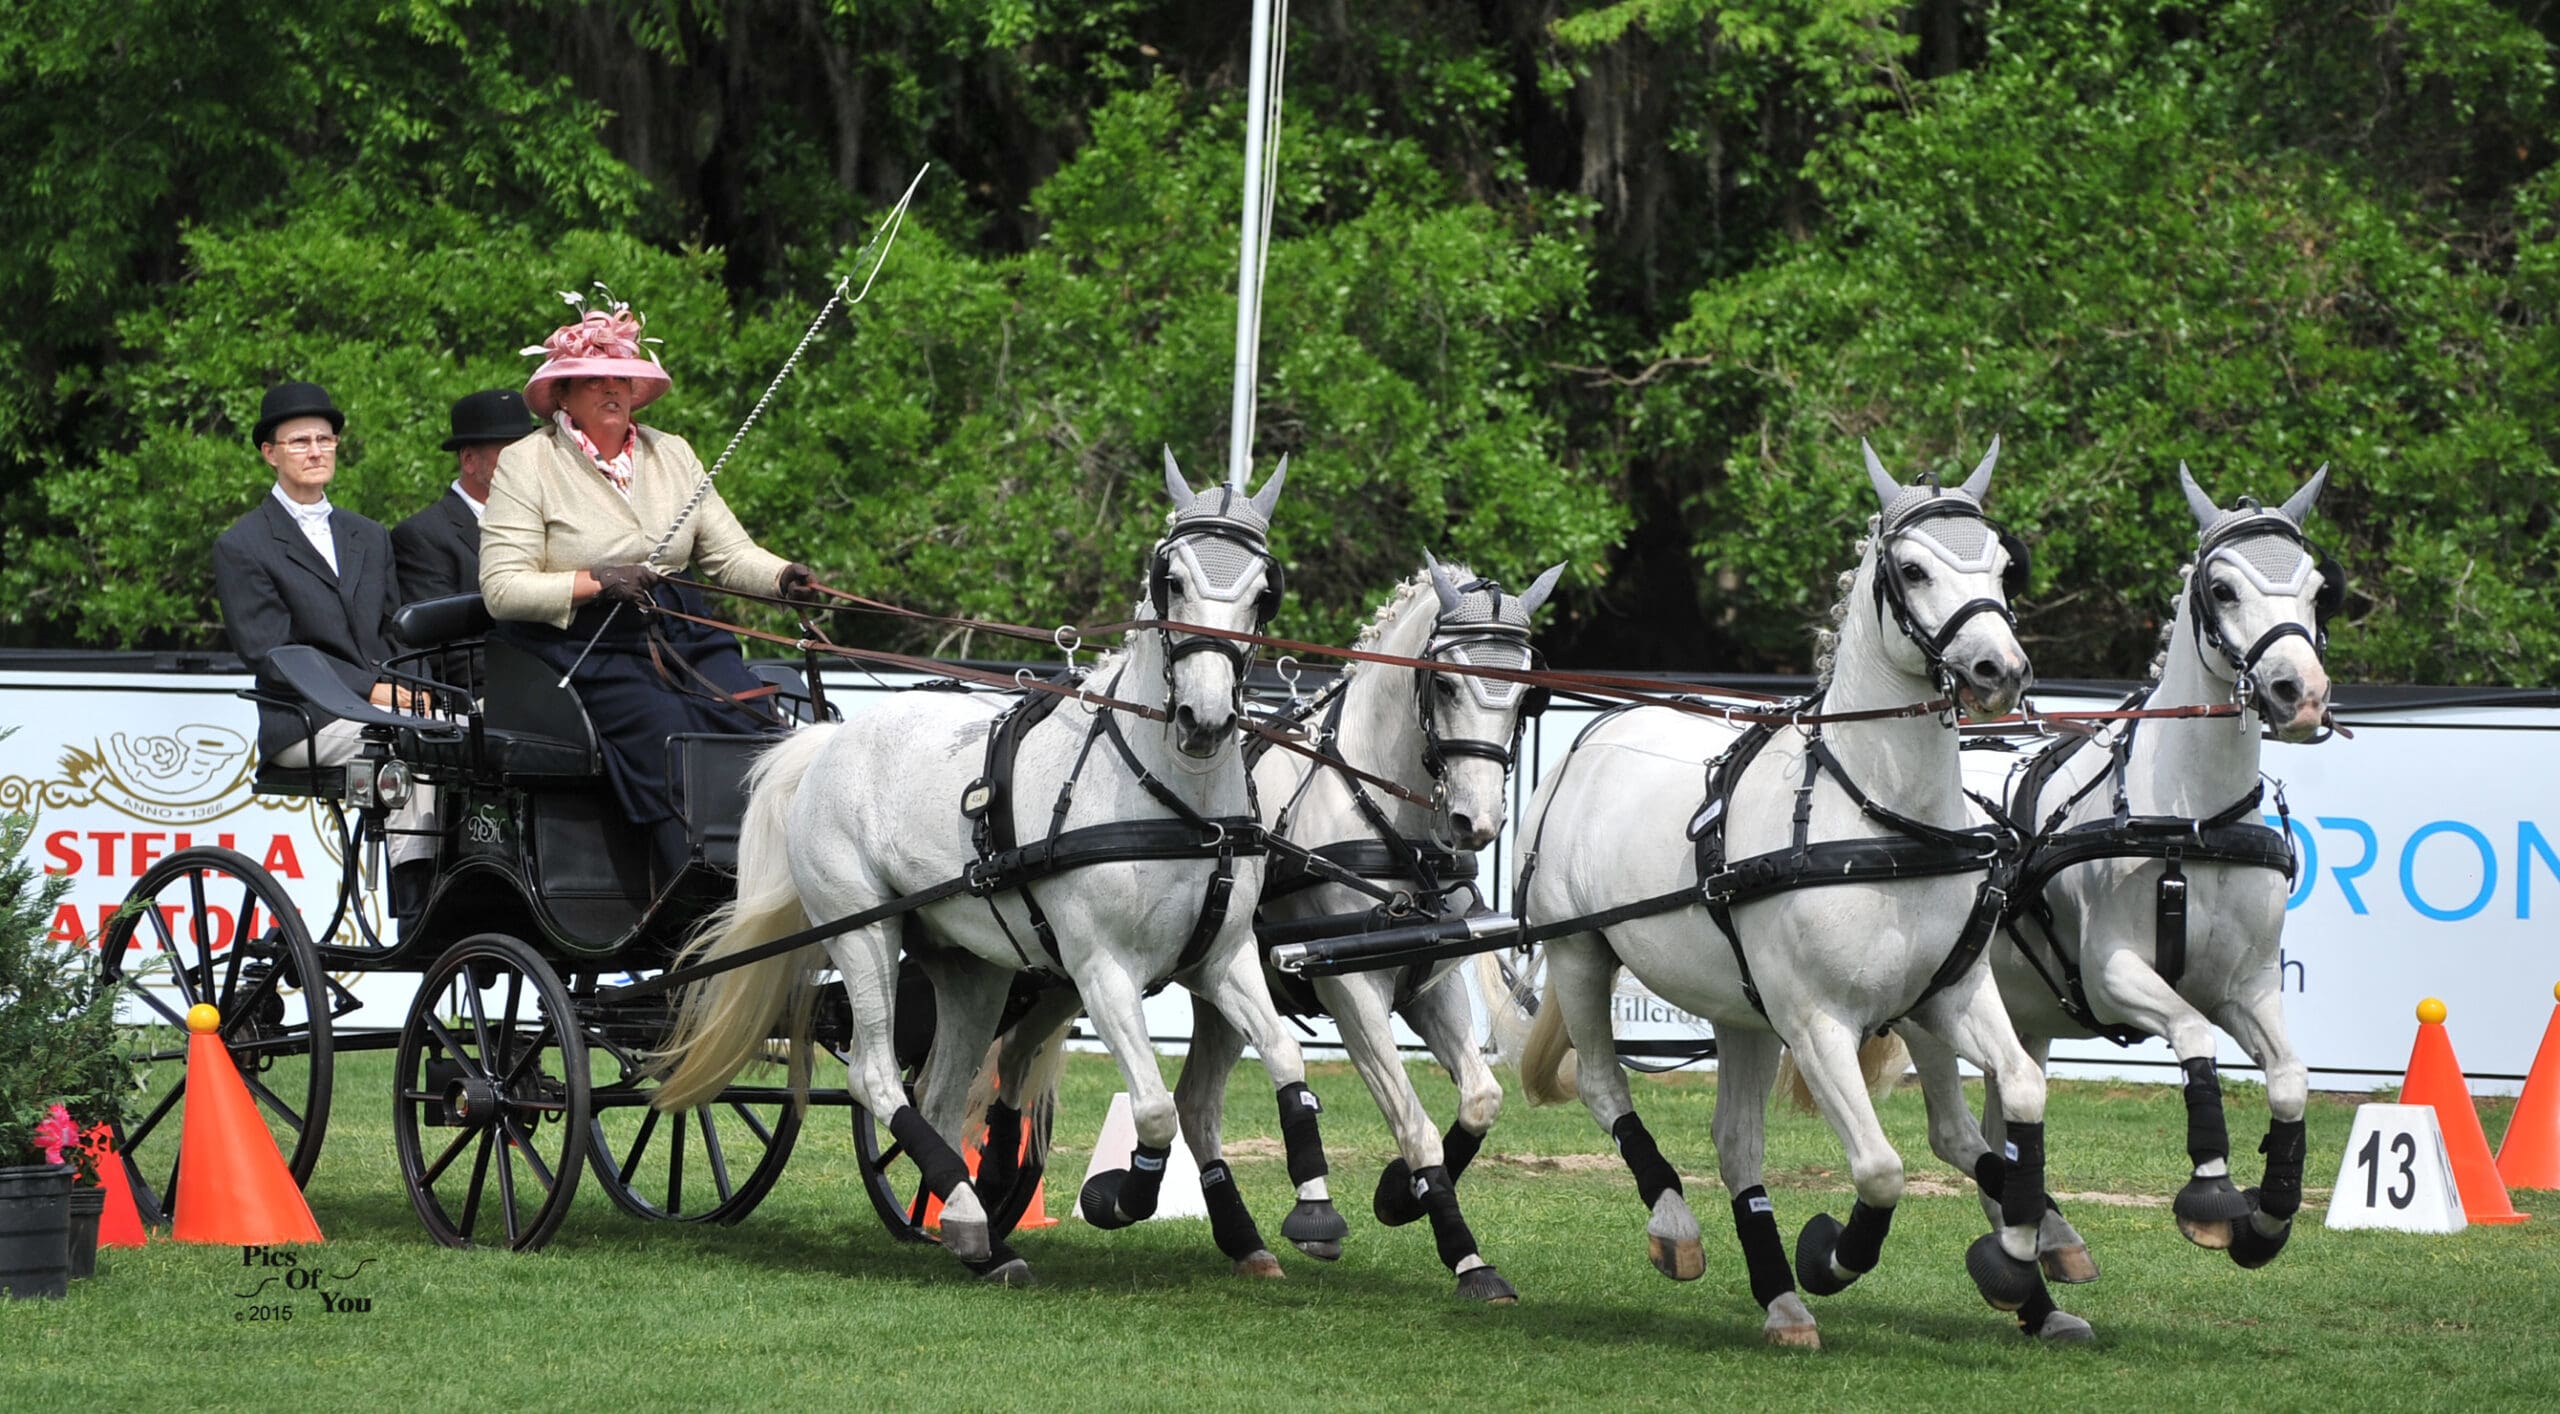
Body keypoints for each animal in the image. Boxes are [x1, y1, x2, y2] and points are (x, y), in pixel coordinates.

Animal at [652, 452, 1347, 1283]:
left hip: (970, 969)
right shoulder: (1101, 969)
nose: (1204, 721)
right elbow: (1151, 1107)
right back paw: (973, 1219)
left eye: (1263, 590)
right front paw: (1122, 1197)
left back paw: (968, 1225)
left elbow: (1285, 1059)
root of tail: (828, 741)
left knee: (940, 1092)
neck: (1172, 804)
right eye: (1170, 579)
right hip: (862, 934)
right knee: (877, 1075)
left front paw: (1314, 1211)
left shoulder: (1222, 956)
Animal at [1511, 441, 2084, 1347]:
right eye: (1913, 570)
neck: (1880, 823)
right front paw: (1832, 1255)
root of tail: (1599, 729)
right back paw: (1679, 1229)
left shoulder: (1949, 994)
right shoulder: (1817, 1024)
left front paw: (2027, 1247)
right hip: (1580, 951)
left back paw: (1780, 1300)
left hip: (1743, 1011)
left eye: (2002, 564)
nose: (2000, 670)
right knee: (1606, 1088)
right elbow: (1881, 1169)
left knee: (1737, 1142)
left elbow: (2021, 1091)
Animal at [1899, 463, 2339, 1276]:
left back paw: (2044, 1235)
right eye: (2223, 589)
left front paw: (2268, 1216)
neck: (2191, 824)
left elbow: (2292, 1080)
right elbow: (2194, 1037)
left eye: (2320, 588)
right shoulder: (2117, 975)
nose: (2301, 694)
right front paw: (2212, 1193)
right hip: (1924, 1007)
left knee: (2008, 1110)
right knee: (1953, 1132)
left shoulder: (2247, 984)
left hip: (2018, 1012)